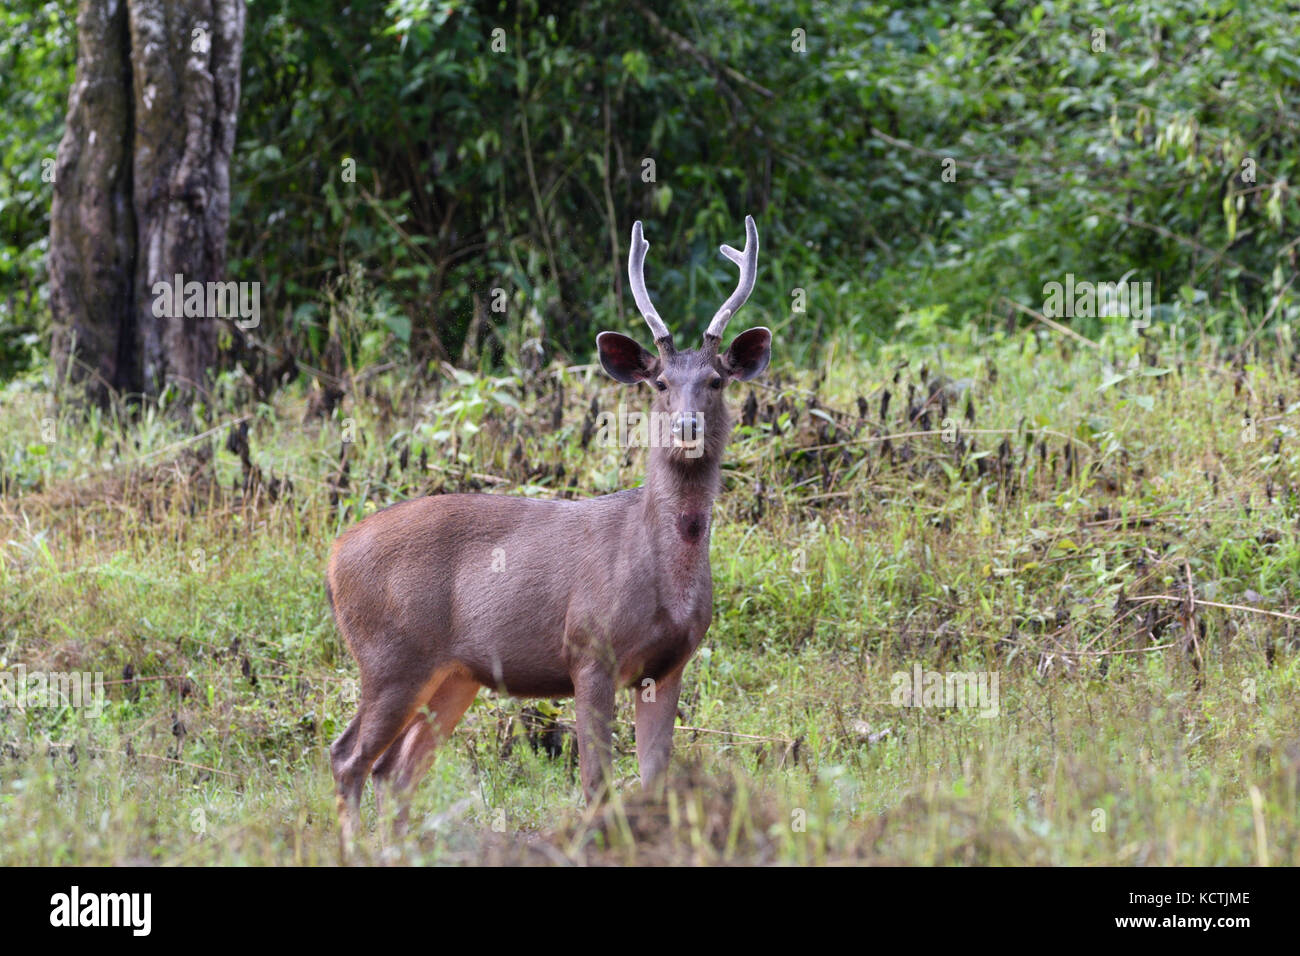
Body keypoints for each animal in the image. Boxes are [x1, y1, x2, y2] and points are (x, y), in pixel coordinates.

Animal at [326, 215, 769, 852]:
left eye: (715, 380)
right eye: (660, 382)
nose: (686, 426)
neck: (662, 571)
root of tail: (334, 554)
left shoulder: (669, 666)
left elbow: (656, 781)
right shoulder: (589, 648)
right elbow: (597, 782)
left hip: (453, 675)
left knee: (396, 769)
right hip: (389, 654)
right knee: (348, 758)